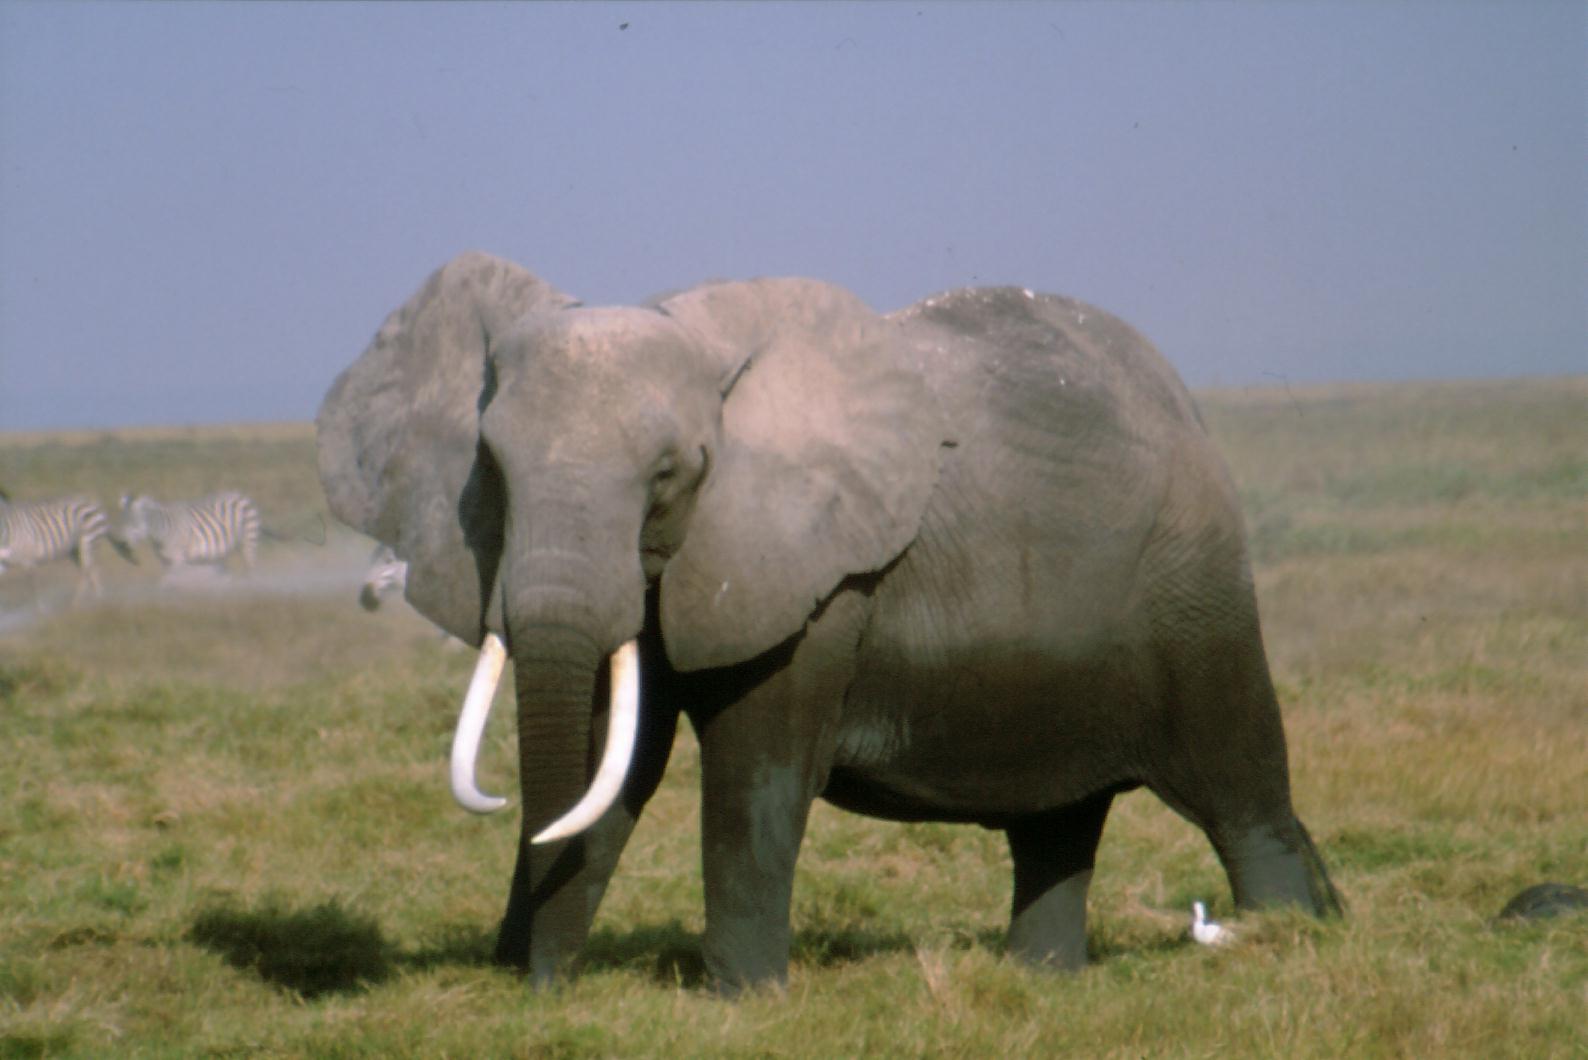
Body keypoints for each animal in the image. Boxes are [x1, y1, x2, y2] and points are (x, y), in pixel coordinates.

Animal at [316, 251, 1340, 991]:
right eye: (489, 469)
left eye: (668, 475)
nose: (526, 981)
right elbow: (614, 760)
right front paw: (541, 986)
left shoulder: (818, 574)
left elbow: (755, 765)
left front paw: (743, 1001)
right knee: (1058, 820)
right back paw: (1046, 983)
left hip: (1194, 592)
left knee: (1239, 784)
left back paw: (1286, 944)